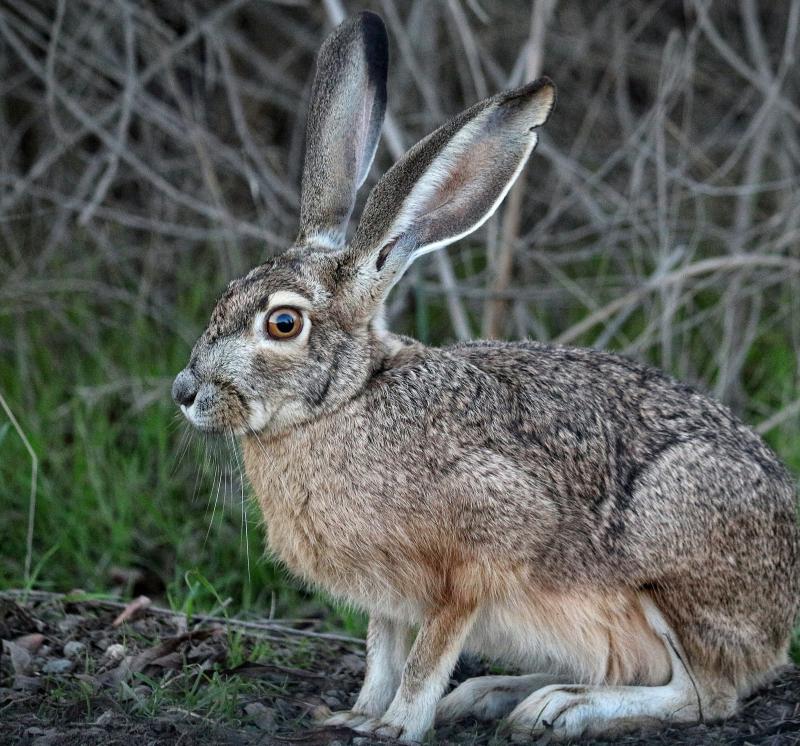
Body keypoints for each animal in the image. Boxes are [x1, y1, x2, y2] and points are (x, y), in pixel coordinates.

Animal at [172, 10, 800, 743]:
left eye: (282, 324)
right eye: (228, 294)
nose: (185, 392)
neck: (344, 402)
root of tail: (780, 612)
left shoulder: (477, 557)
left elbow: (427, 655)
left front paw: (396, 726)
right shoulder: (388, 596)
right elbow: (382, 652)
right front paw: (358, 715)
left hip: (673, 558)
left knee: (705, 692)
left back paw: (563, 706)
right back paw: (499, 693)